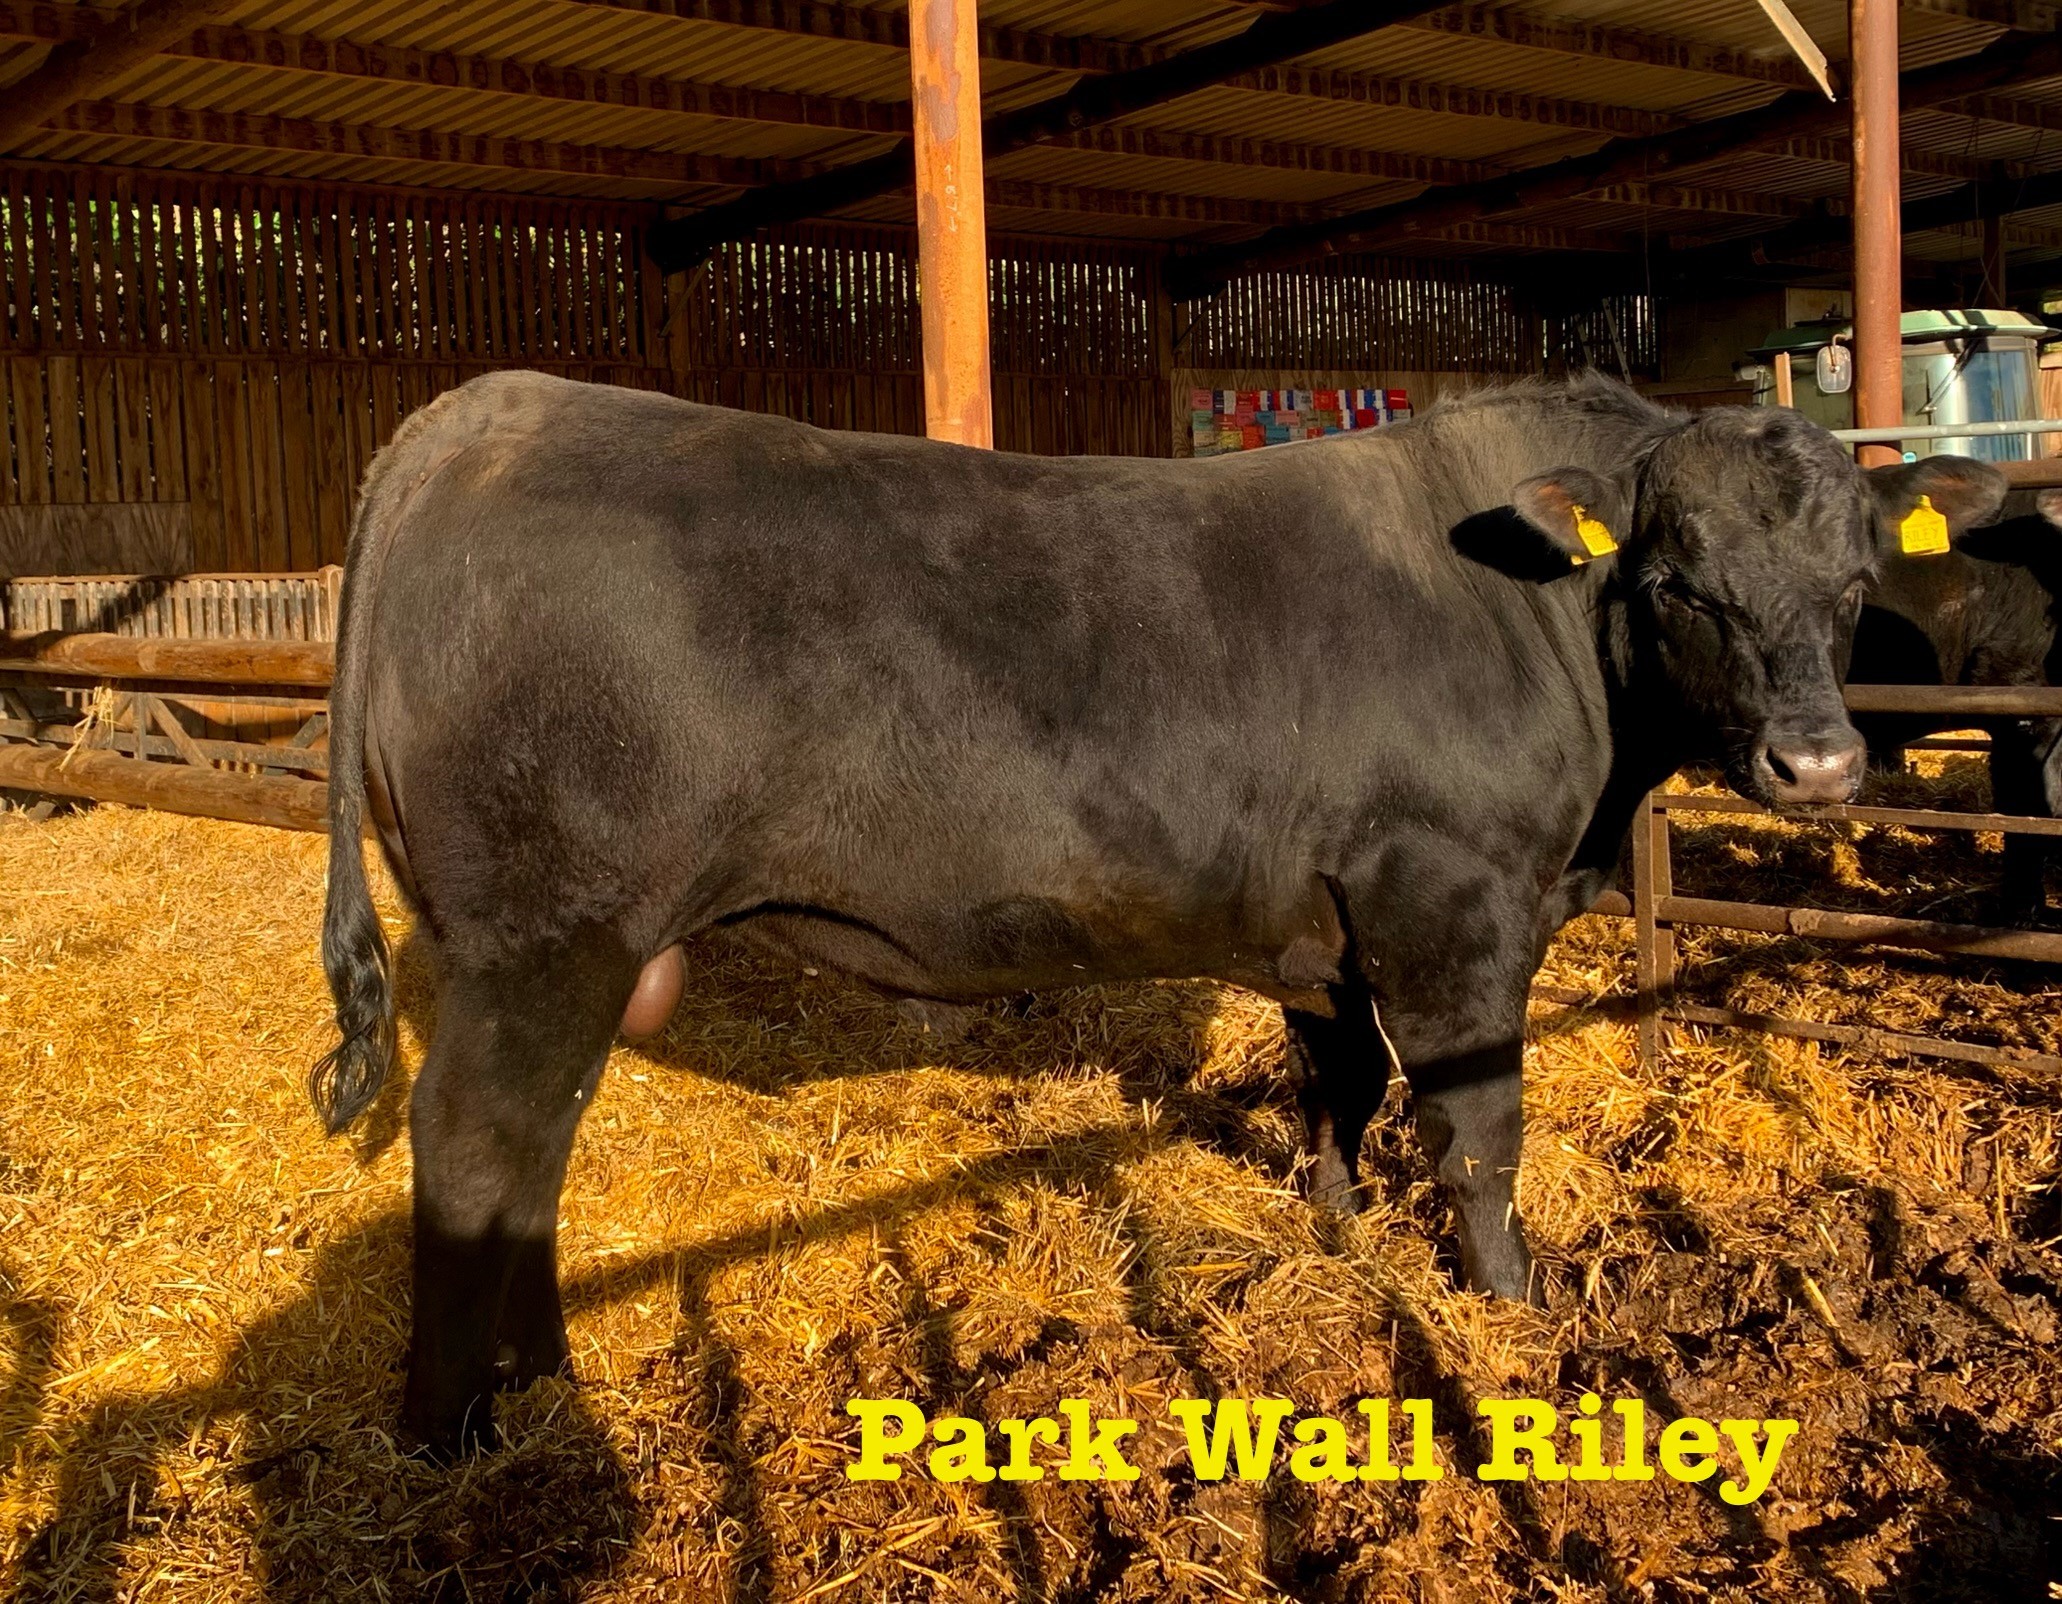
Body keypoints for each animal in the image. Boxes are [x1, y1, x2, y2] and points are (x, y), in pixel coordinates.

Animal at [312, 370, 2006, 1457]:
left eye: (1853, 580)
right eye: (1671, 579)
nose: (1818, 764)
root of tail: (487, 412)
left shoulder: (1326, 921)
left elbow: (1339, 1079)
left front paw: (1332, 1222)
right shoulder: (1448, 900)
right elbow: (1477, 1127)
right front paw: (1508, 1305)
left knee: (527, 1159)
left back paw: (535, 1382)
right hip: (544, 935)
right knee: (477, 1143)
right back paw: (458, 1433)